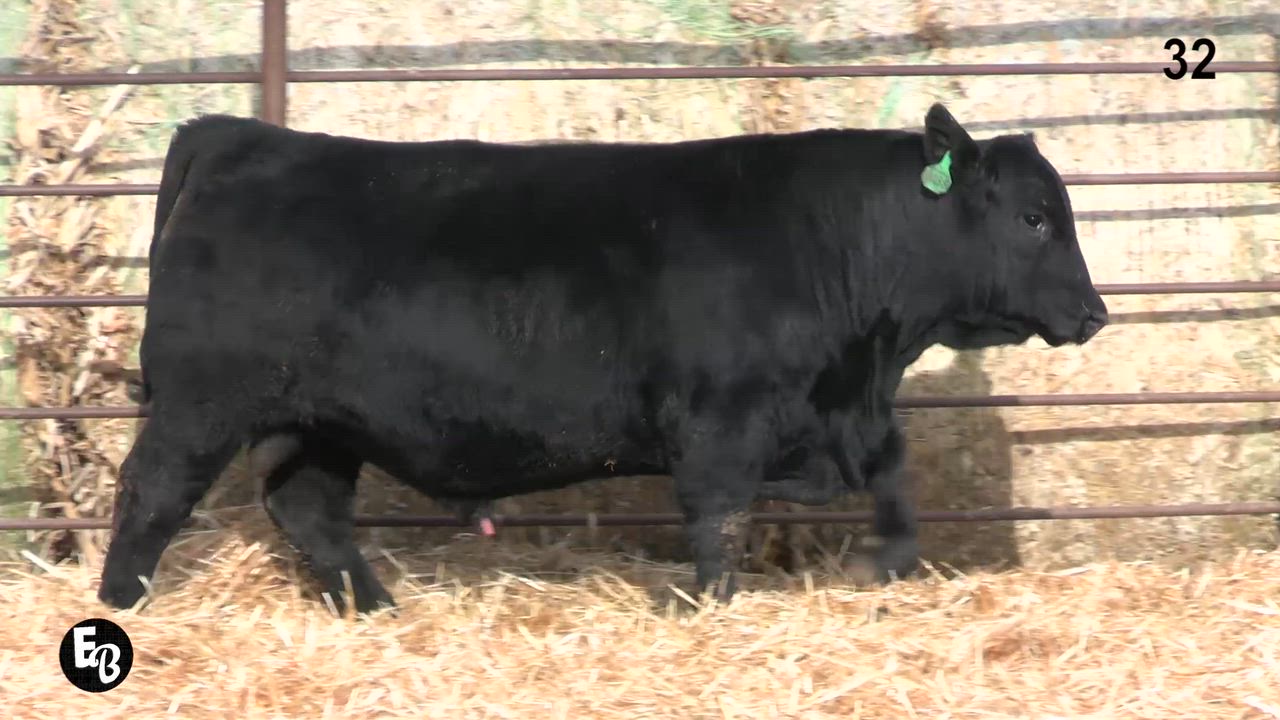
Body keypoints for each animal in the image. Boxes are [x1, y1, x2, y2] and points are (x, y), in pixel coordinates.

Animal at [96, 103, 1108, 615]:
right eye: (1034, 216)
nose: (1096, 313)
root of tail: (240, 134)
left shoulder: (839, 408)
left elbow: (886, 469)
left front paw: (883, 559)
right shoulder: (719, 422)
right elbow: (720, 518)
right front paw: (708, 607)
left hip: (319, 423)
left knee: (308, 509)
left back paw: (376, 609)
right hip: (201, 405)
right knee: (151, 492)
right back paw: (118, 608)